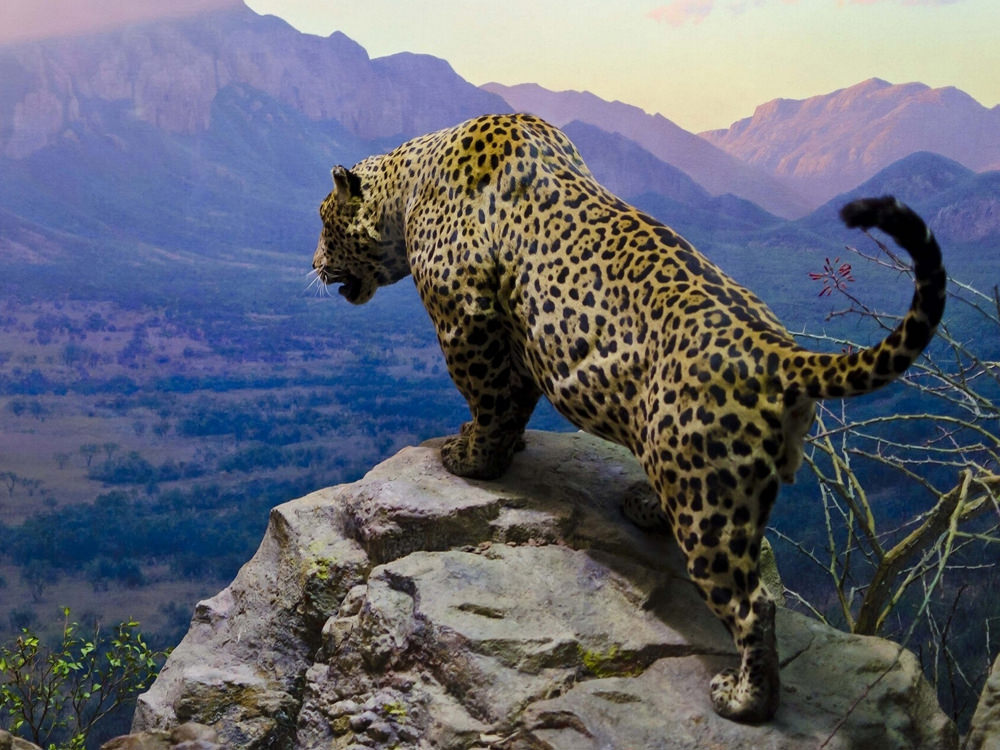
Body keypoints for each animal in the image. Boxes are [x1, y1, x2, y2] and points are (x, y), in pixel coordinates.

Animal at [311, 113, 946, 723]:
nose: (314, 264)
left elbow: (491, 399)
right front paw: (503, 447)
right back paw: (644, 505)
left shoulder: (467, 319)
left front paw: (473, 458)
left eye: (323, 222)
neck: (409, 185)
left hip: (707, 501)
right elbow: (513, 402)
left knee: (753, 605)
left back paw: (746, 700)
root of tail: (779, 352)